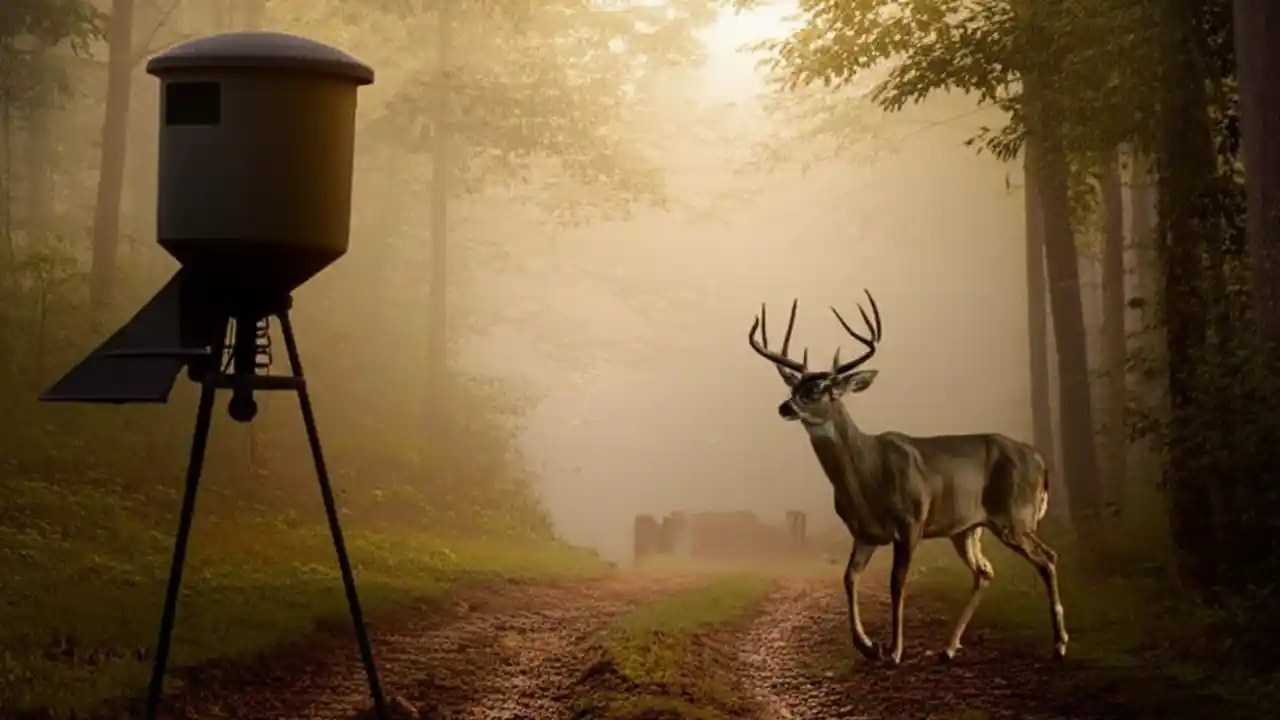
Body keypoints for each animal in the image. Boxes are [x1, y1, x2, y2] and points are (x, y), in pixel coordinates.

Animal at [747, 290, 1067, 665]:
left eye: (821, 389)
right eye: (794, 386)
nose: (785, 406)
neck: (867, 477)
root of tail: (1041, 463)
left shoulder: (911, 519)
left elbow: (897, 582)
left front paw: (894, 650)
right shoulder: (864, 532)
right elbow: (849, 577)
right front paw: (867, 645)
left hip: (1016, 515)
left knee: (1048, 558)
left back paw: (1060, 644)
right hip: (968, 527)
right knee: (985, 570)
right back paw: (948, 648)